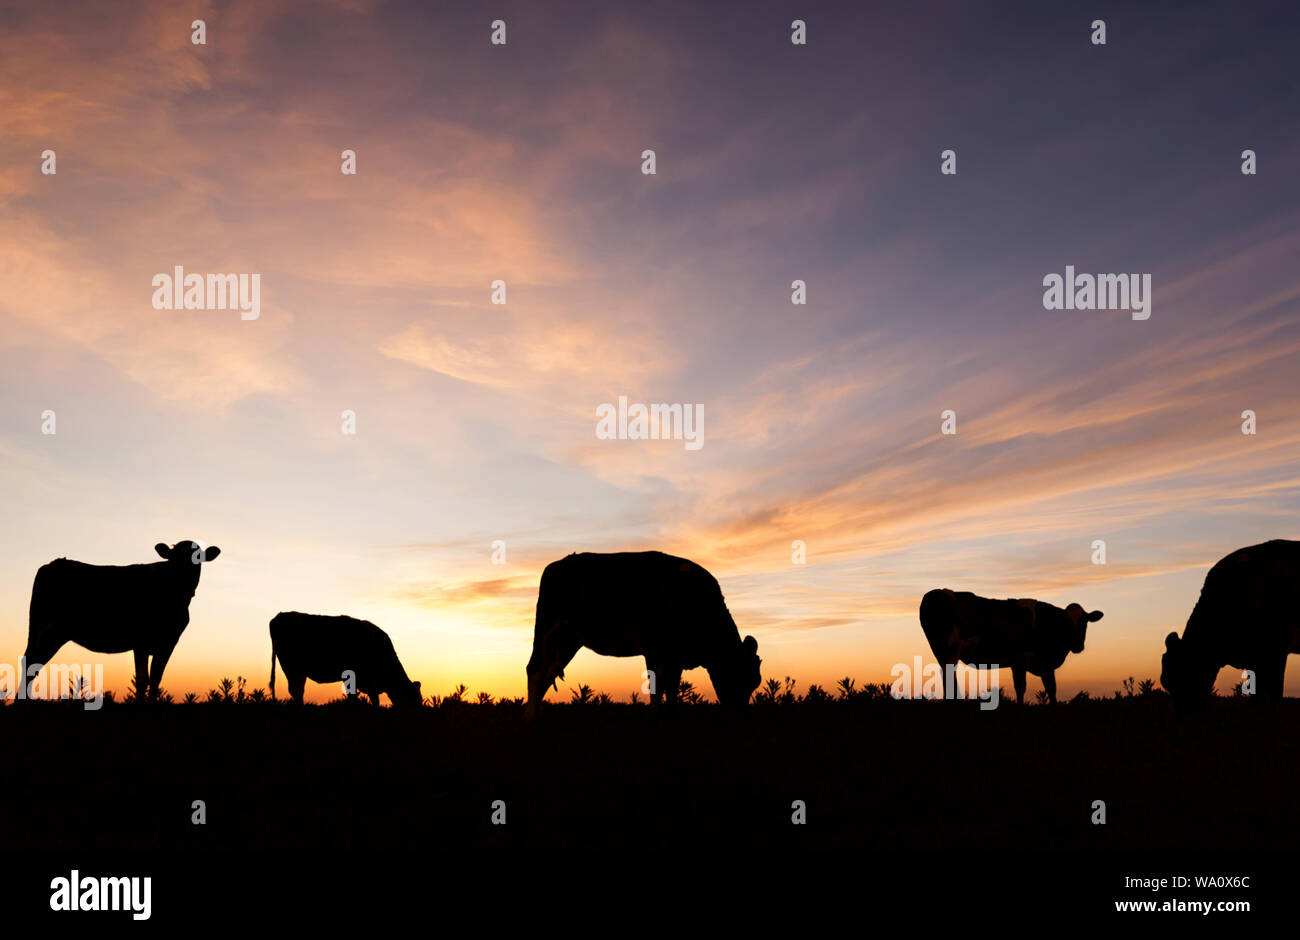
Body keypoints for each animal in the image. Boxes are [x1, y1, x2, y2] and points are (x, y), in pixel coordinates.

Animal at [24, 540, 222, 701]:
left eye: (197, 559)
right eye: (172, 559)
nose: (183, 581)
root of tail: (53, 563)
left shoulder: (168, 643)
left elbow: (155, 680)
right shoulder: (141, 642)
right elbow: (142, 680)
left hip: (54, 635)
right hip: (42, 629)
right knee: (29, 664)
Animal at [525, 551, 761, 717]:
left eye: (755, 682)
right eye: (742, 676)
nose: (740, 715)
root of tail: (556, 565)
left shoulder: (674, 657)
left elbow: (672, 690)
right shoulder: (657, 649)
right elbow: (658, 688)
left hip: (567, 640)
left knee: (547, 674)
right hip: (547, 629)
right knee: (535, 670)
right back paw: (530, 721)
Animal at [919, 588, 1103, 704]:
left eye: (1085, 623)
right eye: (1066, 623)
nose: (1078, 646)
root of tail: (934, 593)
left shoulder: (1021, 664)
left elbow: (1021, 689)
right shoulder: (1038, 662)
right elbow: (1049, 689)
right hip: (948, 651)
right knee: (949, 678)